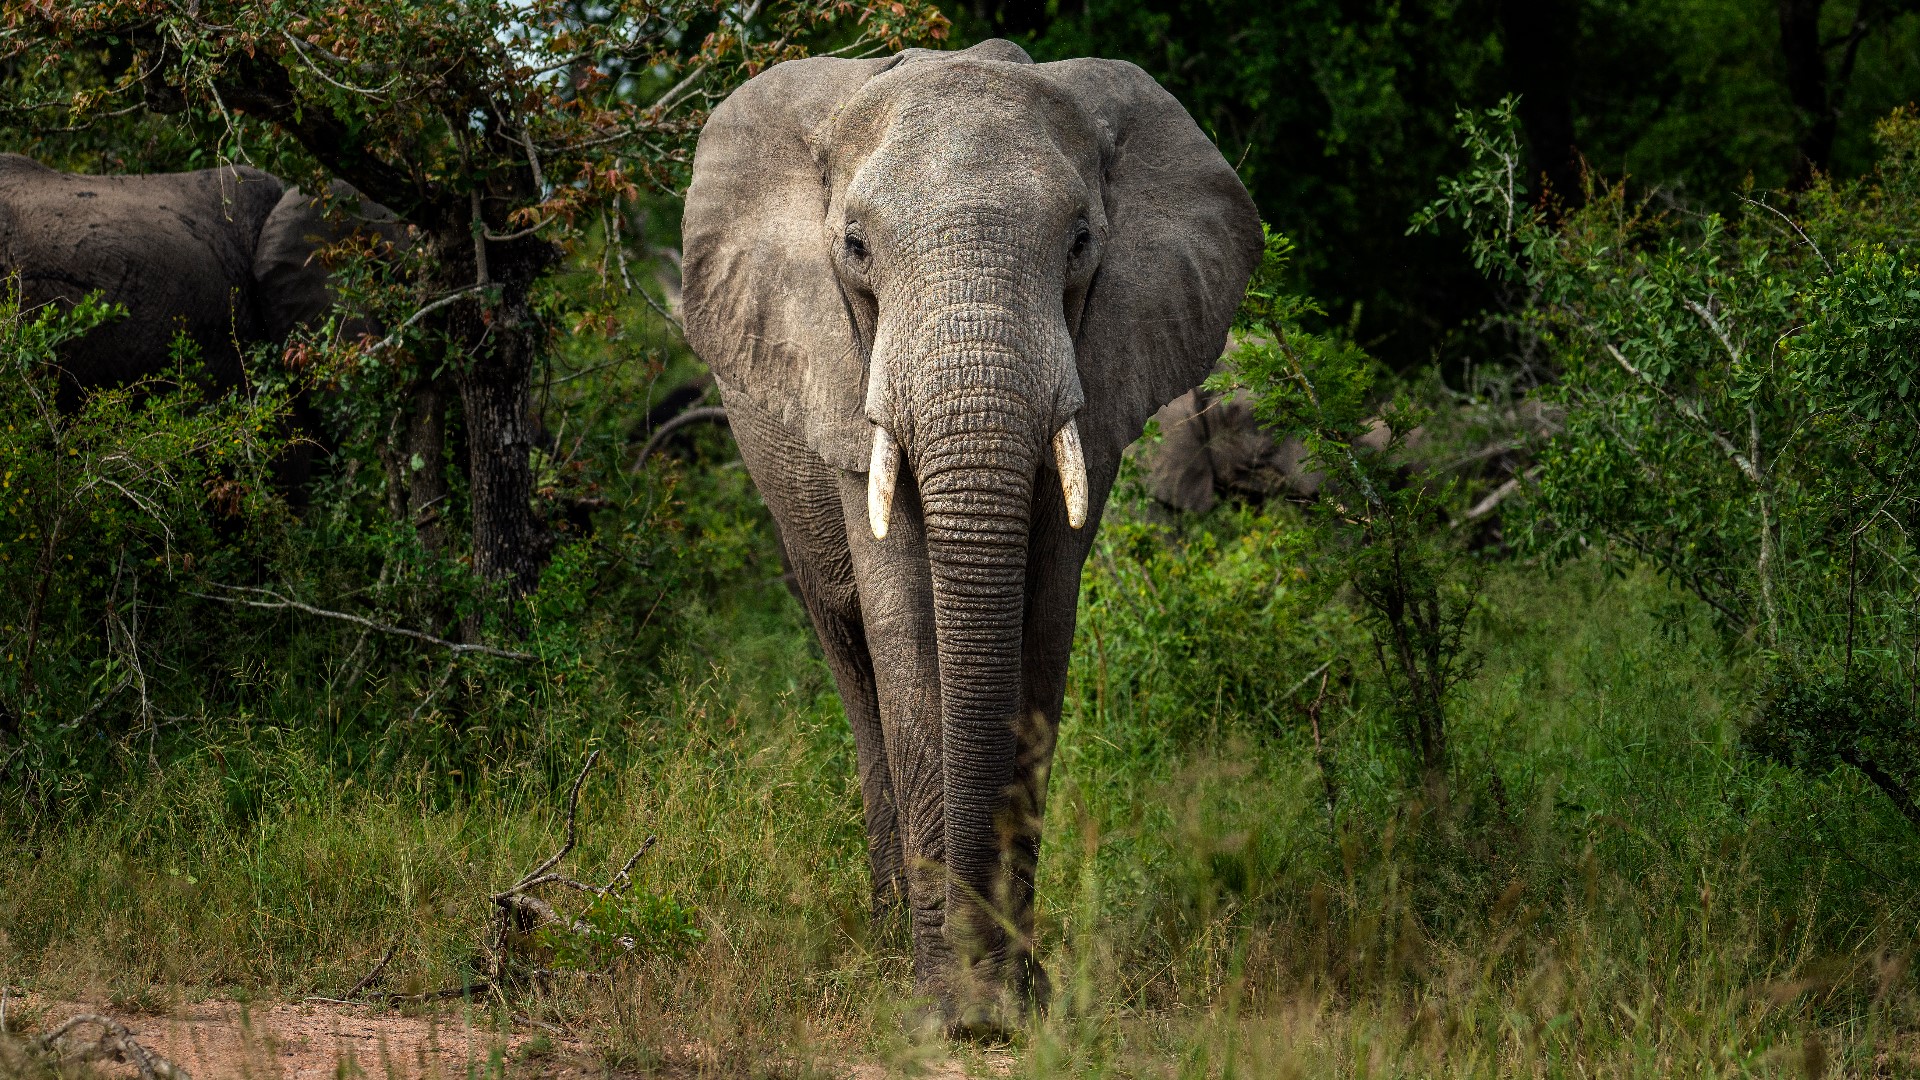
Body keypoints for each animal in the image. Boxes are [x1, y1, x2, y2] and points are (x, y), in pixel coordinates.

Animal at [681, 39, 1261, 1030]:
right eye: (855, 249)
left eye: (1080, 243)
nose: (979, 1001)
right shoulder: (842, 376)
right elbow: (906, 627)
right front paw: (943, 1008)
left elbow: (1043, 626)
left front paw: (1015, 1004)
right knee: (852, 661)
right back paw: (884, 940)